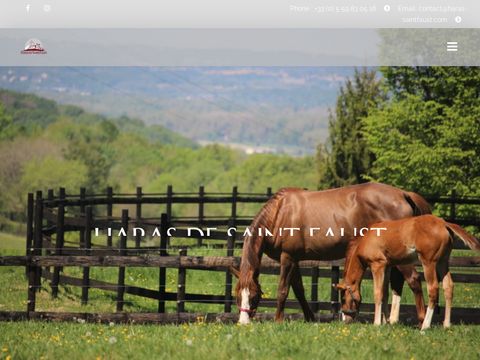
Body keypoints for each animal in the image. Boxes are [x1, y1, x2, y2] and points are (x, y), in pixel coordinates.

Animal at [231, 181, 430, 324]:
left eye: (254, 296)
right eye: (237, 296)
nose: (243, 323)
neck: (279, 213)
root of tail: (404, 194)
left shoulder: (287, 257)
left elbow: (283, 290)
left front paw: (278, 320)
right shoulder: (294, 259)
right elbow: (299, 290)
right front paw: (310, 318)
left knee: (413, 280)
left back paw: (420, 322)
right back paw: (387, 321)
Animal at [338, 214, 480, 330]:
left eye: (344, 299)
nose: (346, 321)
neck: (365, 240)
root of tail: (443, 223)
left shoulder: (377, 265)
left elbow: (378, 293)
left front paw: (377, 323)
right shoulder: (387, 266)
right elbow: (385, 293)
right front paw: (385, 322)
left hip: (429, 262)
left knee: (433, 289)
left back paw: (425, 326)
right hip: (443, 262)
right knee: (448, 286)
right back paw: (446, 325)